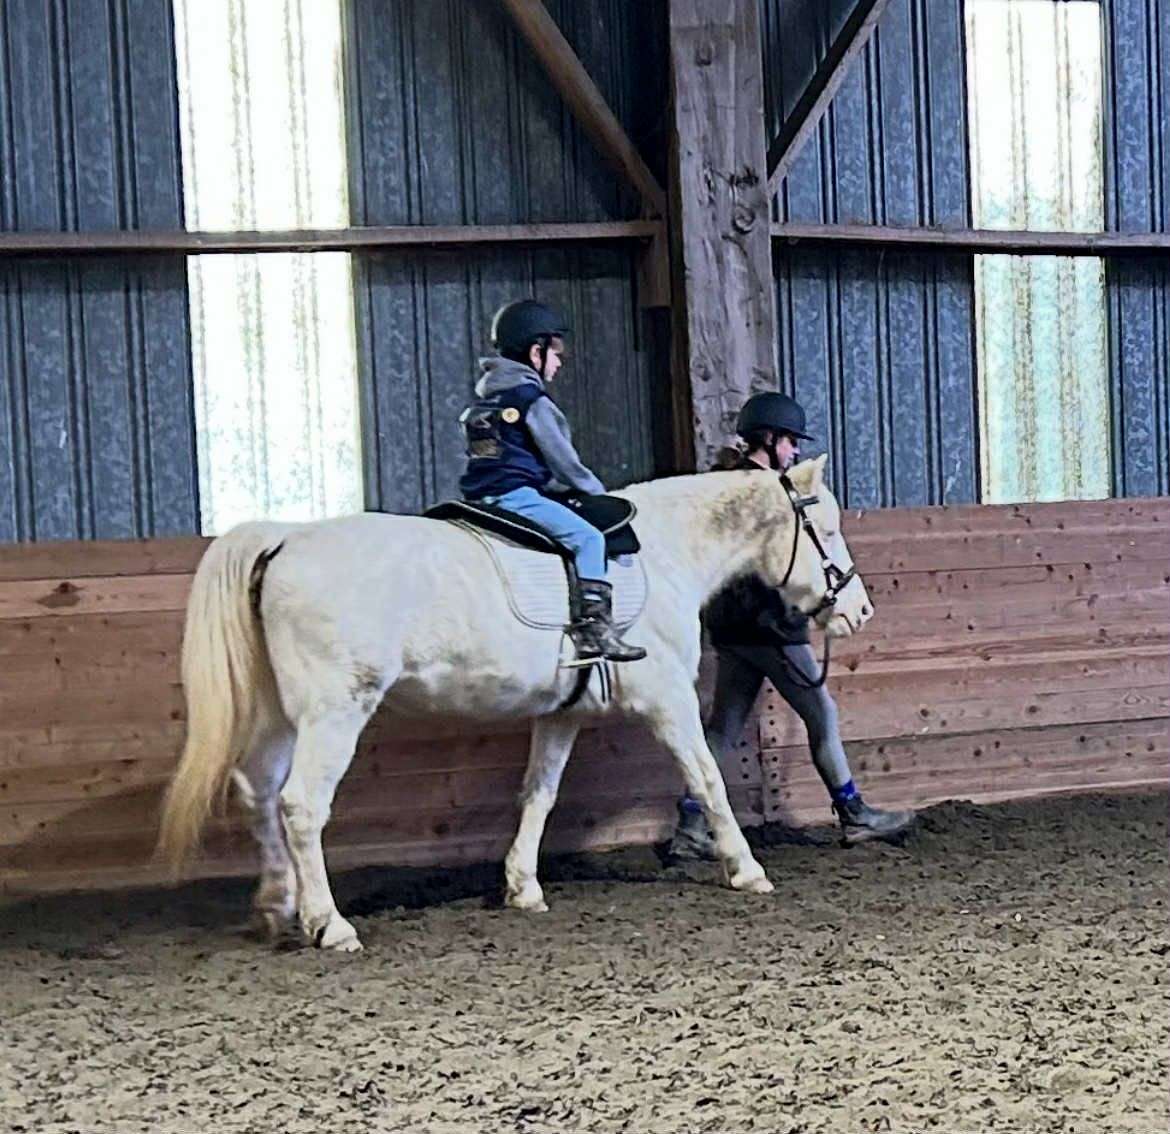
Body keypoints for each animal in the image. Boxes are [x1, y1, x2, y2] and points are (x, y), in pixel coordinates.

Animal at [157, 455, 873, 951]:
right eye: (825, 529)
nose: (859, 610)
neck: (667, 550)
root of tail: (285, 539)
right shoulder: (668, 701)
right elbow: (709, 779)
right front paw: (746, 870)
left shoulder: (563, 713)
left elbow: (540, 794)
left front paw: (523, 887)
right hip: (334, 713)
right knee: (301, 805)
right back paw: (329, 924)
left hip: (283, 715)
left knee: (259, 795)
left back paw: (277, 906)